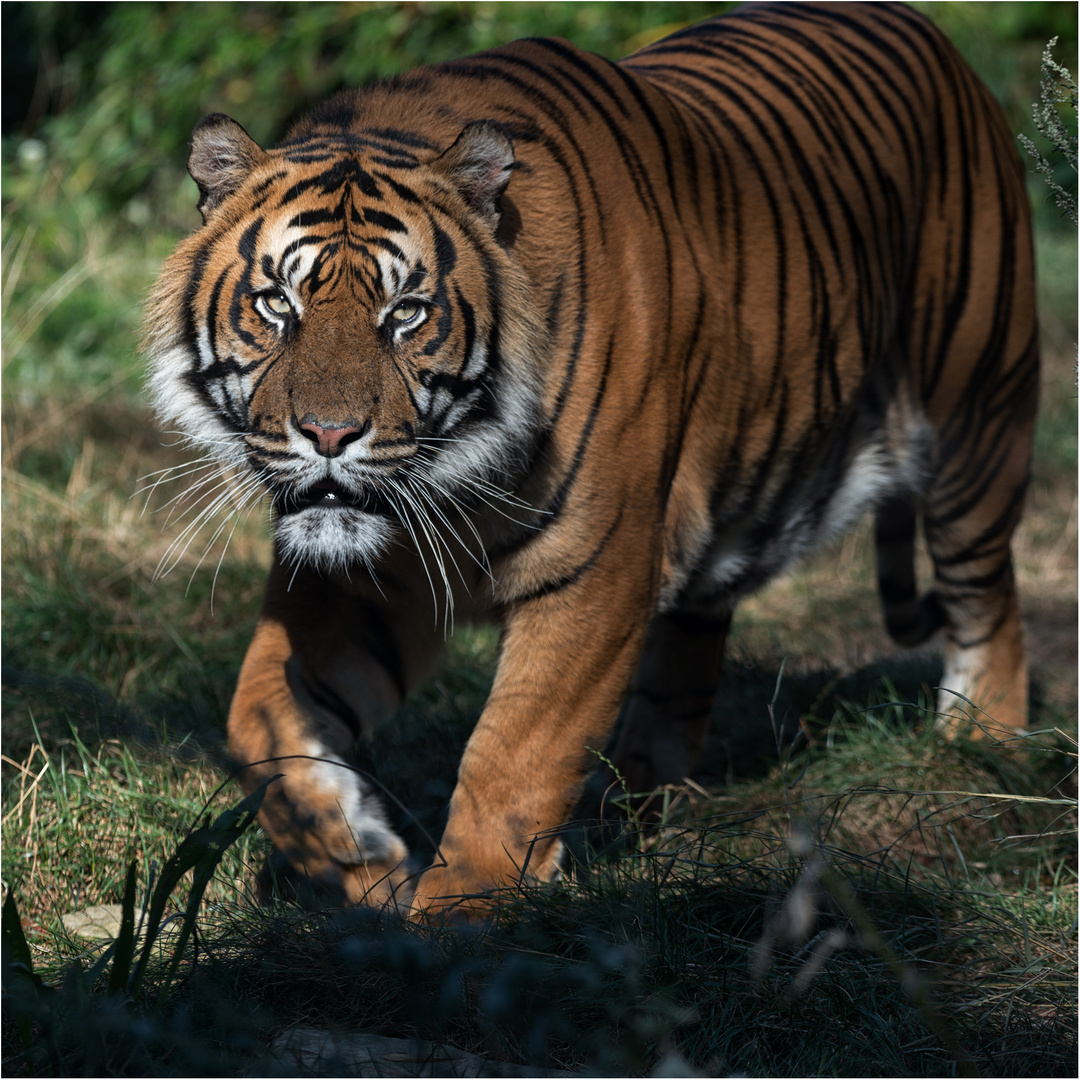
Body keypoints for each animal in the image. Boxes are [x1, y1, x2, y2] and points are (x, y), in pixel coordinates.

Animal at [145, 1, 1038, 918]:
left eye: (407, 313)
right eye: (276, 305)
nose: (328, 435)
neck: (454, 481)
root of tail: (926, 32)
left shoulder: (595, 568)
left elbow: (516, 753)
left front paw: (460, 913)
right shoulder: (361, 579)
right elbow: (257, 717)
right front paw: (357, 853)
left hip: (978, 417)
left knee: (991, 605)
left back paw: (981, 755)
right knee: (685, 663)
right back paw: (633, 818)